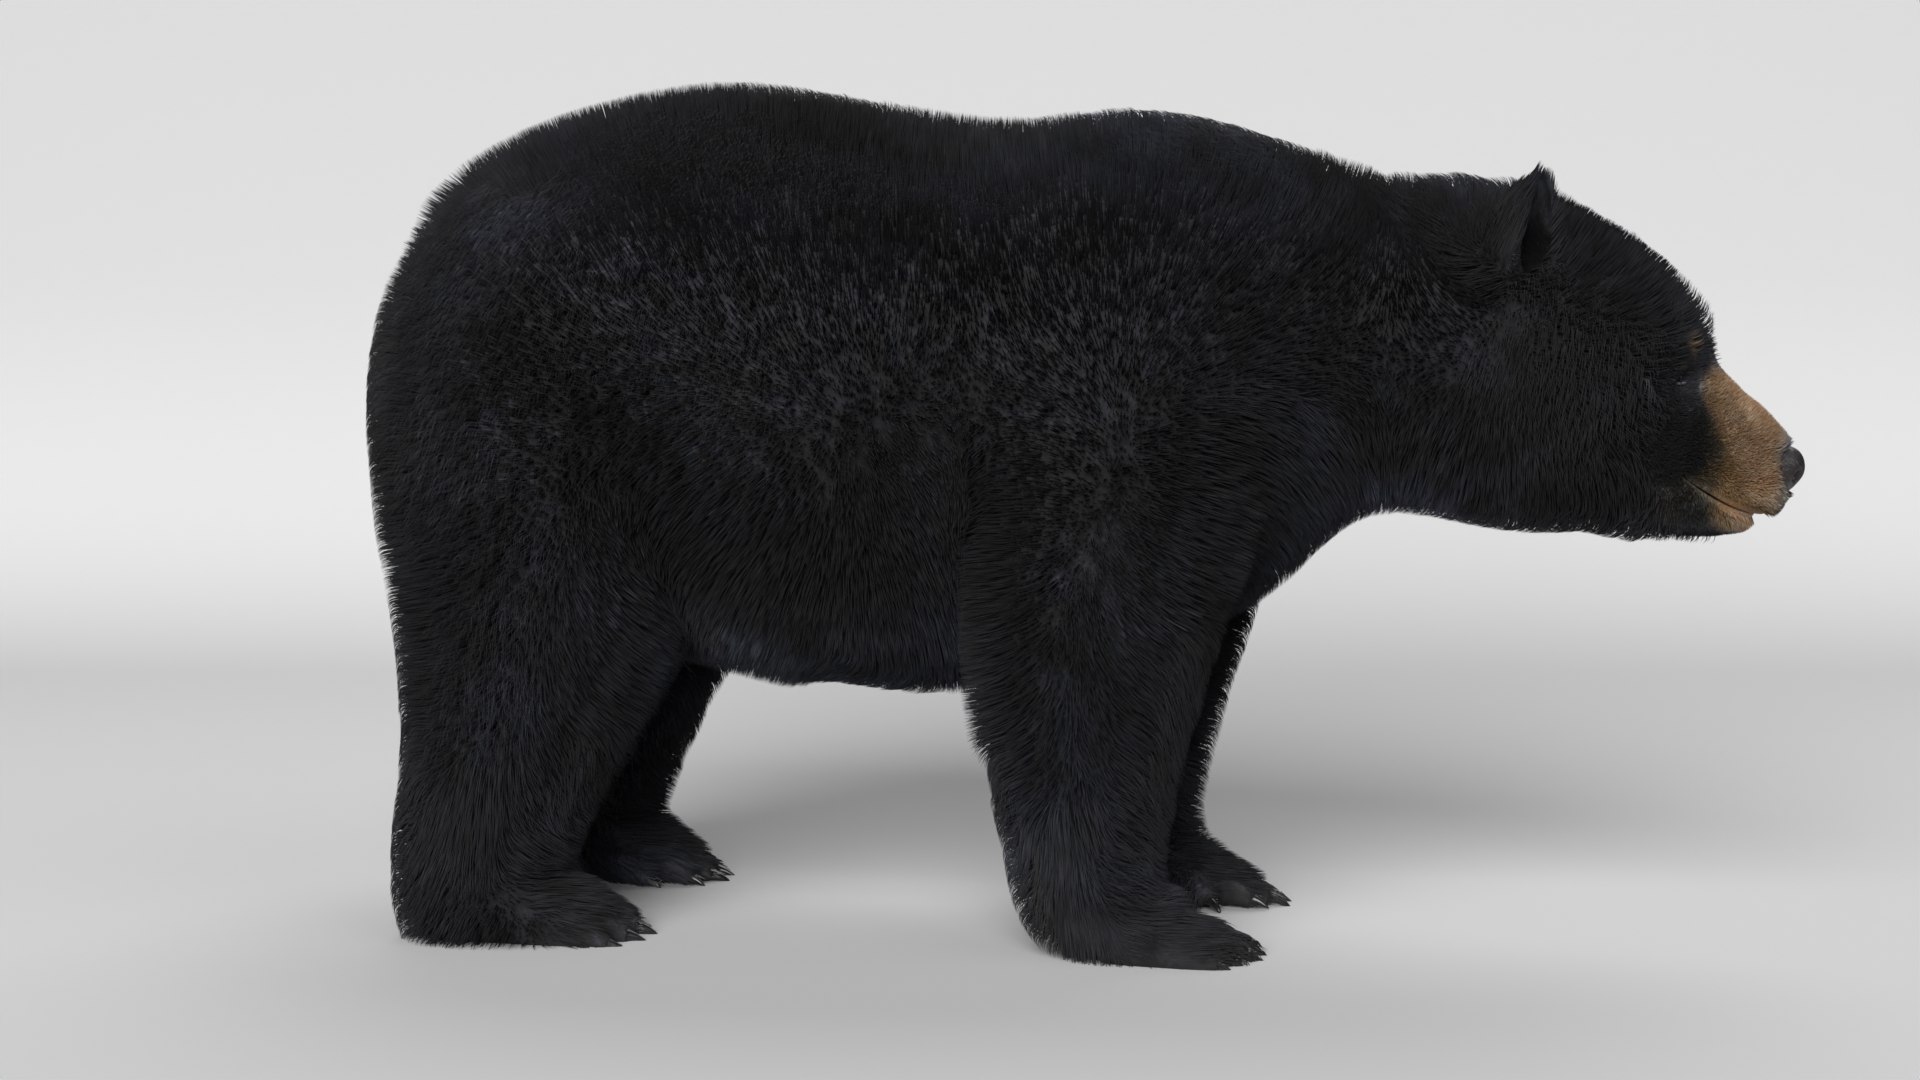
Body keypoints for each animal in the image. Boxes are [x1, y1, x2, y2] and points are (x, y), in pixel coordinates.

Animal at [366, 83, 1803, 970]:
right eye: (1689, 355)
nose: (1789, 460)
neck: (1315, 345)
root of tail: (425, 235)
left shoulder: (1235, 497)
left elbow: (1195, 666)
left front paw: (1216, 868)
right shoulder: (1121, 427)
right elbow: (1088, 656)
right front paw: (1161, 928)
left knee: (646, 675)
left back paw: (647, 846)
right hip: (546, 446)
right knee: (526, 656)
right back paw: (530, 899)